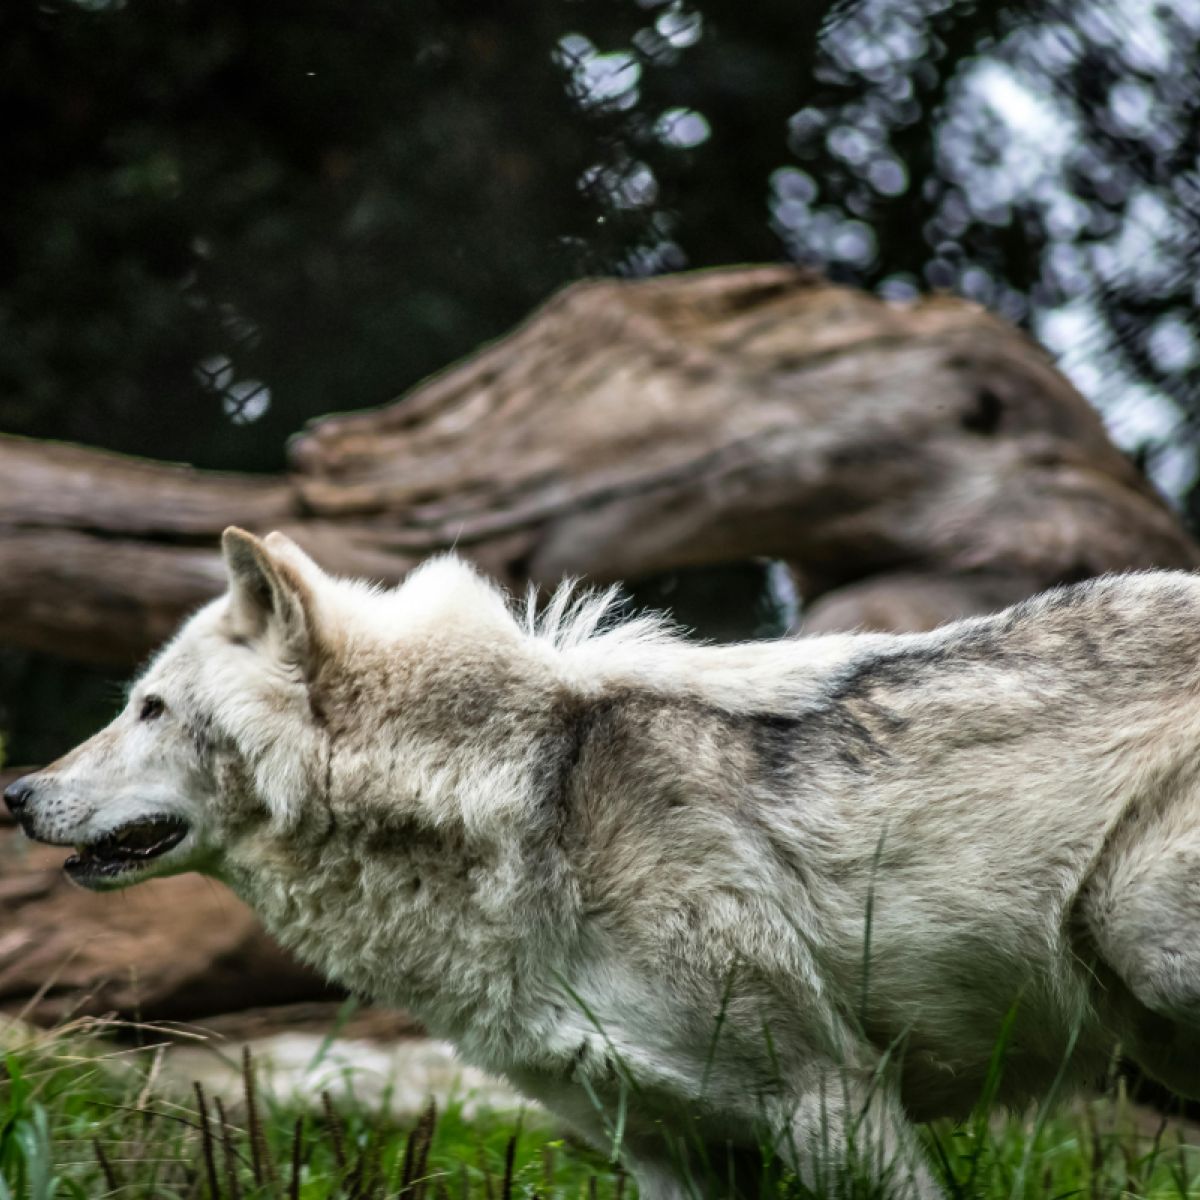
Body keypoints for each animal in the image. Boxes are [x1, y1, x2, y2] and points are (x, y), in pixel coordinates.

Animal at [8, 528, 1200, 1197]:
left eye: (150, 708)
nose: (13, 794)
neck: (506, 799)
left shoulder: (835, 1101)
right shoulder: (670, 1149)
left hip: (1141, 945)